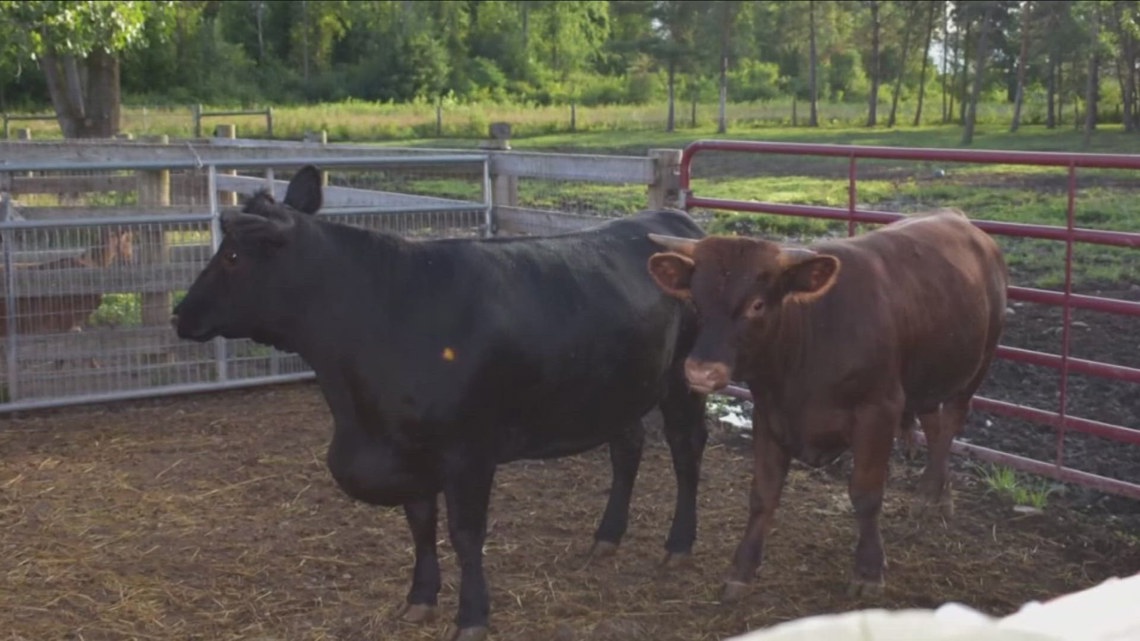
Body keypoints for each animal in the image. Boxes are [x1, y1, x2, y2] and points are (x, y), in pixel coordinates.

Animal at [171, 165, 709, 641]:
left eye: (233, 256)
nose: (180, 314)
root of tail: (675, 222)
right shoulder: (410, 452)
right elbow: (421, 526)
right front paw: (420, 600)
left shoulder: (468, 453)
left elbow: (466, 534)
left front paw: (471, 615)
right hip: (616, 388)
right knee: (628, 447)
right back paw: (606, 537)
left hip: (682, 380)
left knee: (686, 450)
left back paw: (679, 545)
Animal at [645, 208, 1008, 603]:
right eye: (696, 301)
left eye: (757, 304)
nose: (700, 370)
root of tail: (956, 218)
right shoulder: (769, 413)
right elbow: (763, 494)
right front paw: (742, 569)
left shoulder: (879, 411)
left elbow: (866, 494)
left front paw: (868, 570)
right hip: (928, 373)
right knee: (934, 424)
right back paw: (939, 495)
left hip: (976, 366)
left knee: (952, 421)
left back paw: (929, 495)